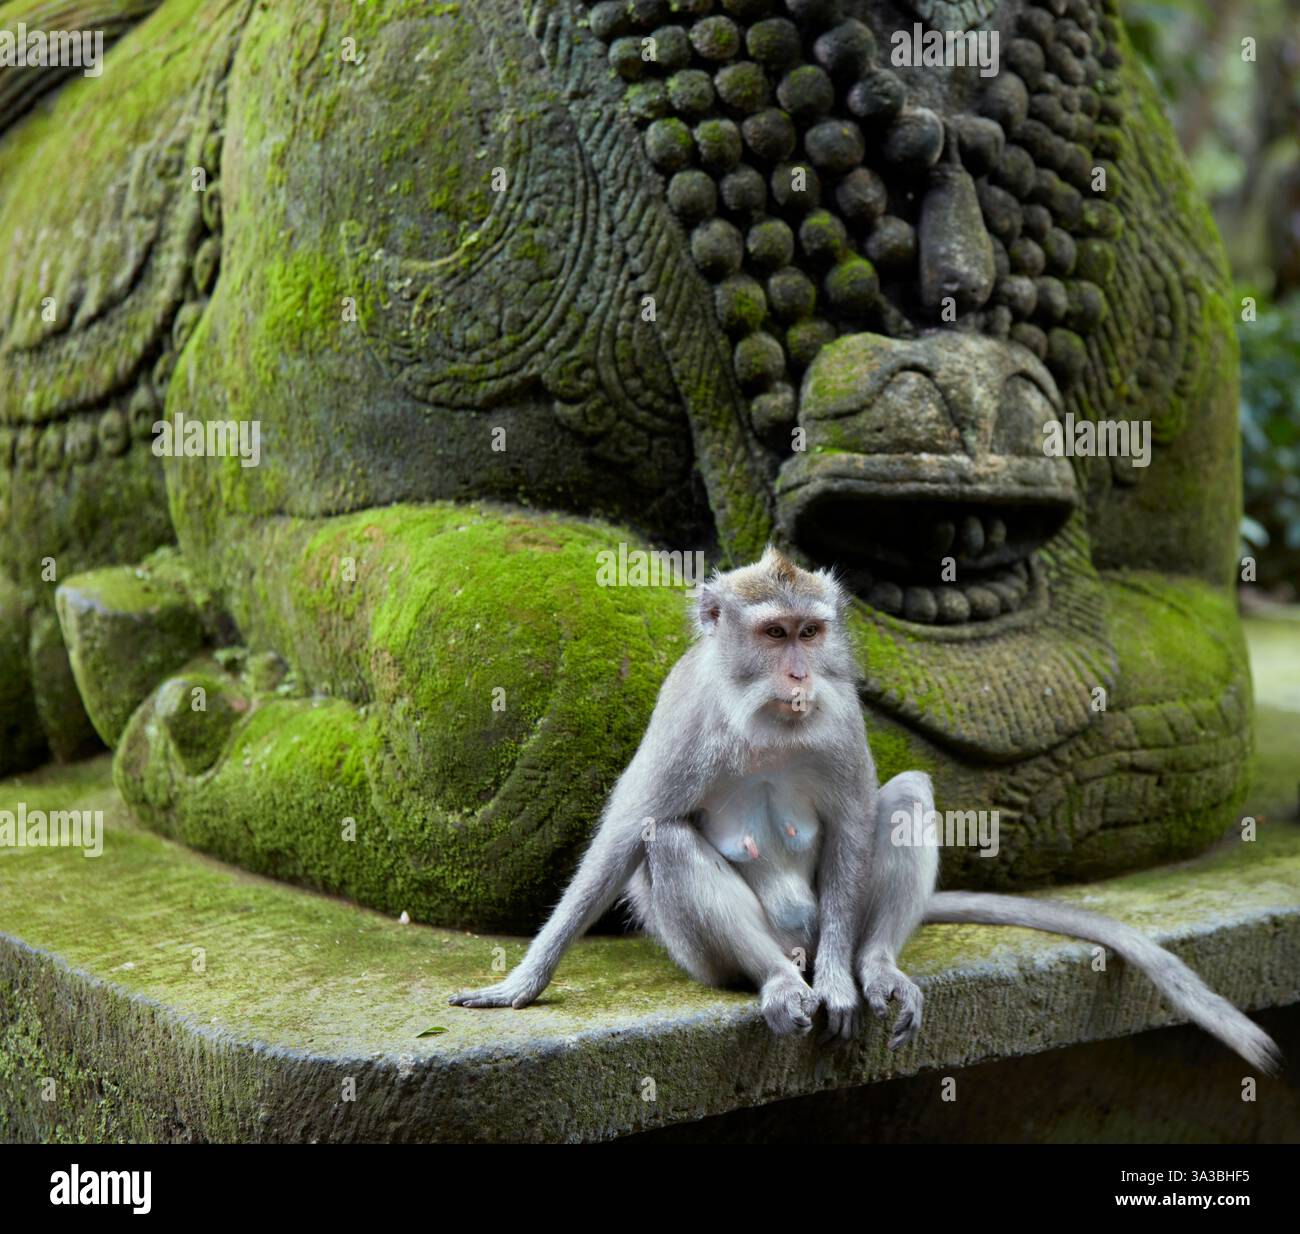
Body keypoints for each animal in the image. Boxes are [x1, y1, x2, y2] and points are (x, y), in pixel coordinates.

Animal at [450, 547, 1280, 1072]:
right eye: (774, 633)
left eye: (810, 633)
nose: (797, 675)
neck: (767, 721)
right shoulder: (682, 715)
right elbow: (628, 833)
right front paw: (521, 983)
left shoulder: (841, 713)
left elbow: (853, 824)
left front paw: (848, 987)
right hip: (718, 954)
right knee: (669, 841)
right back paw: (778, 980)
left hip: (828, 928)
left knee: (906, 799)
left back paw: (873, 966)